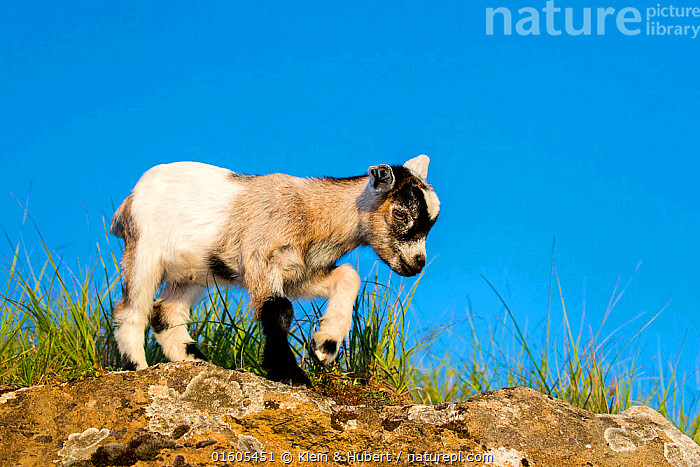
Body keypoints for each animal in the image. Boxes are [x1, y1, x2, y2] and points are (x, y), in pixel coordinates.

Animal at [111, 155, 440, 385]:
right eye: (400, 213)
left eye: (432, 222)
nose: (417, 263)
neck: (313, 213)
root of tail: (128, 201)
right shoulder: (261, 257)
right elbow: (278, 310)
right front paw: (291, 374)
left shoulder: (300, 272)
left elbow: (349, 275)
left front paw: (325, 345)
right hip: (144, 250)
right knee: (131, 310)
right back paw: (138, 368)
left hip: (195, 270)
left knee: (165, 312)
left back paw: (193, 360)